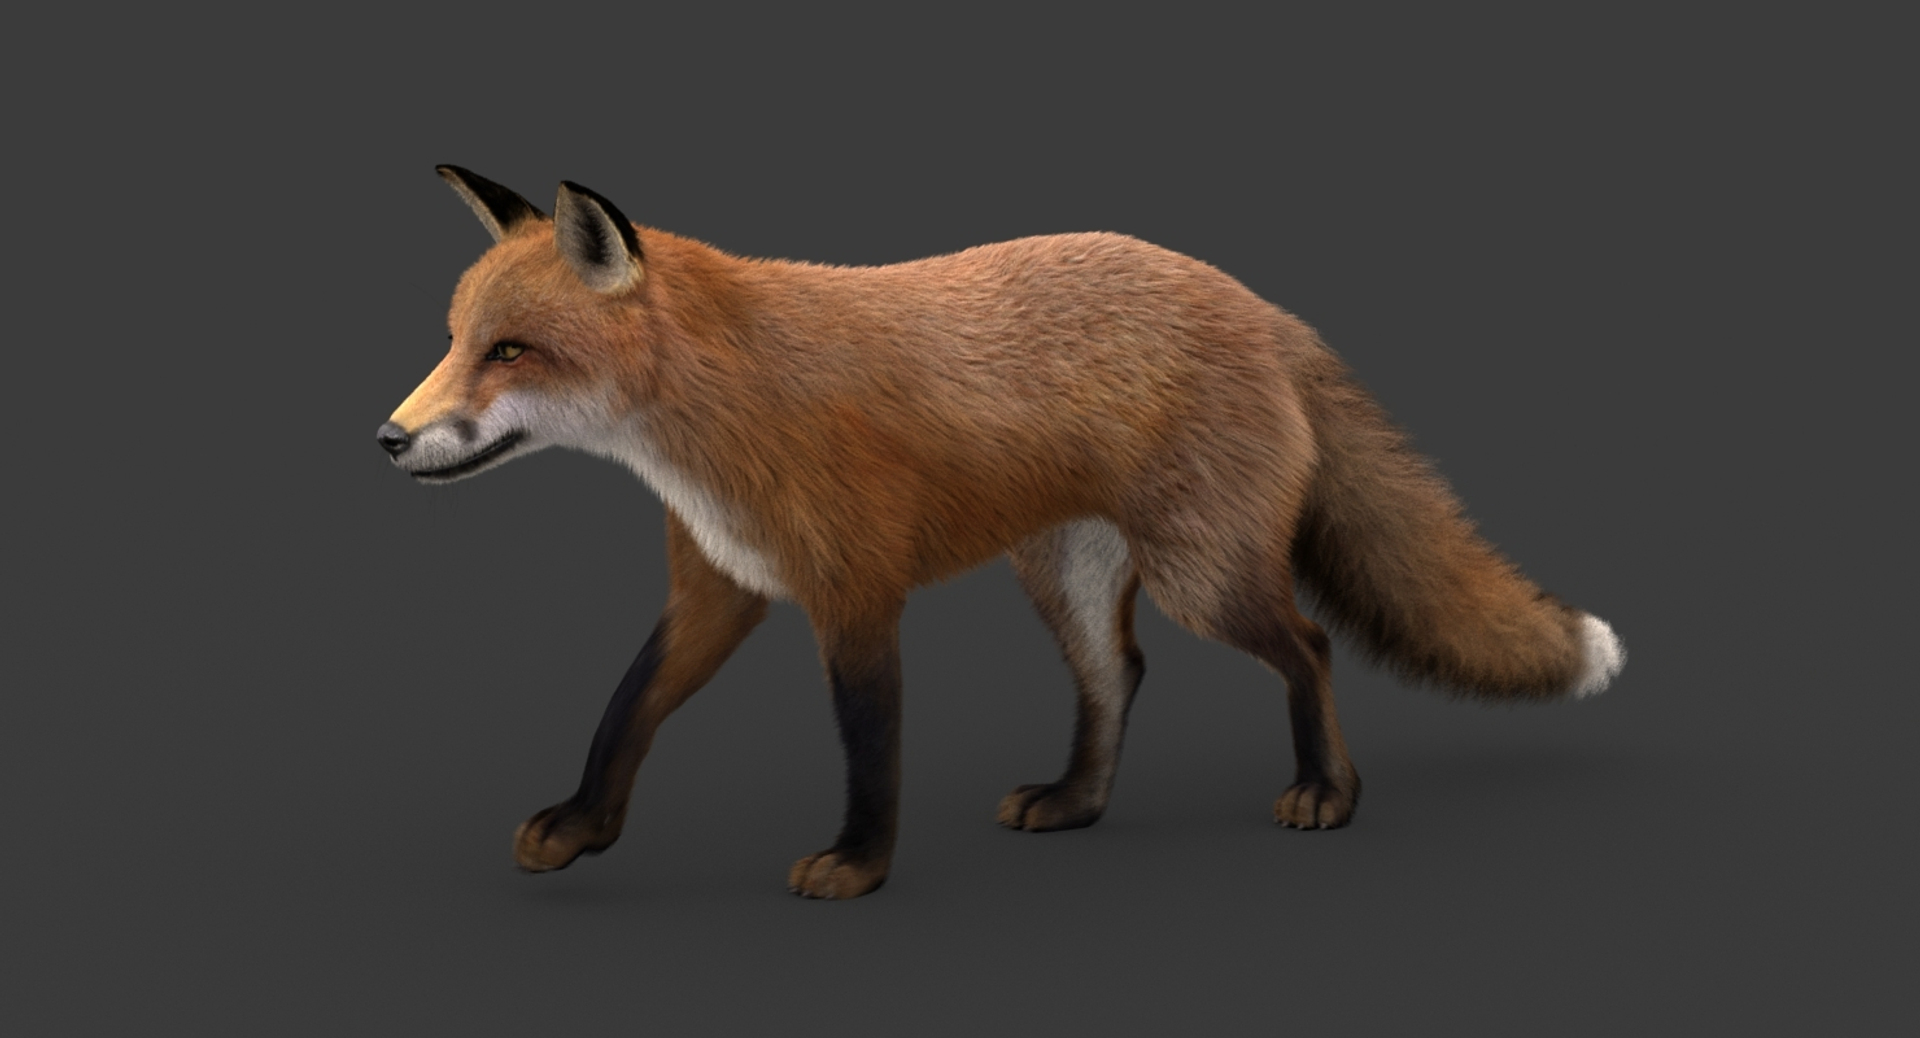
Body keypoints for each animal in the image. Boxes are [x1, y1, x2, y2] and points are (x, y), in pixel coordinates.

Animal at [378, 165, 1625, 900]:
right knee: (1122, 674)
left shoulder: (856, 590)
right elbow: (626, 710)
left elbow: (869, 741)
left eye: (512, 352)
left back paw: (1328, 791)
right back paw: (1076, 802)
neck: (716, 413)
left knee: (1308, 647)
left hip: (1203, 575)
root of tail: (1255, 302)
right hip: (1068, 574)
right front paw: (583, 826)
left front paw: (859, 861)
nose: (389, 440)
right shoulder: (719, 589)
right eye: (453, 338)